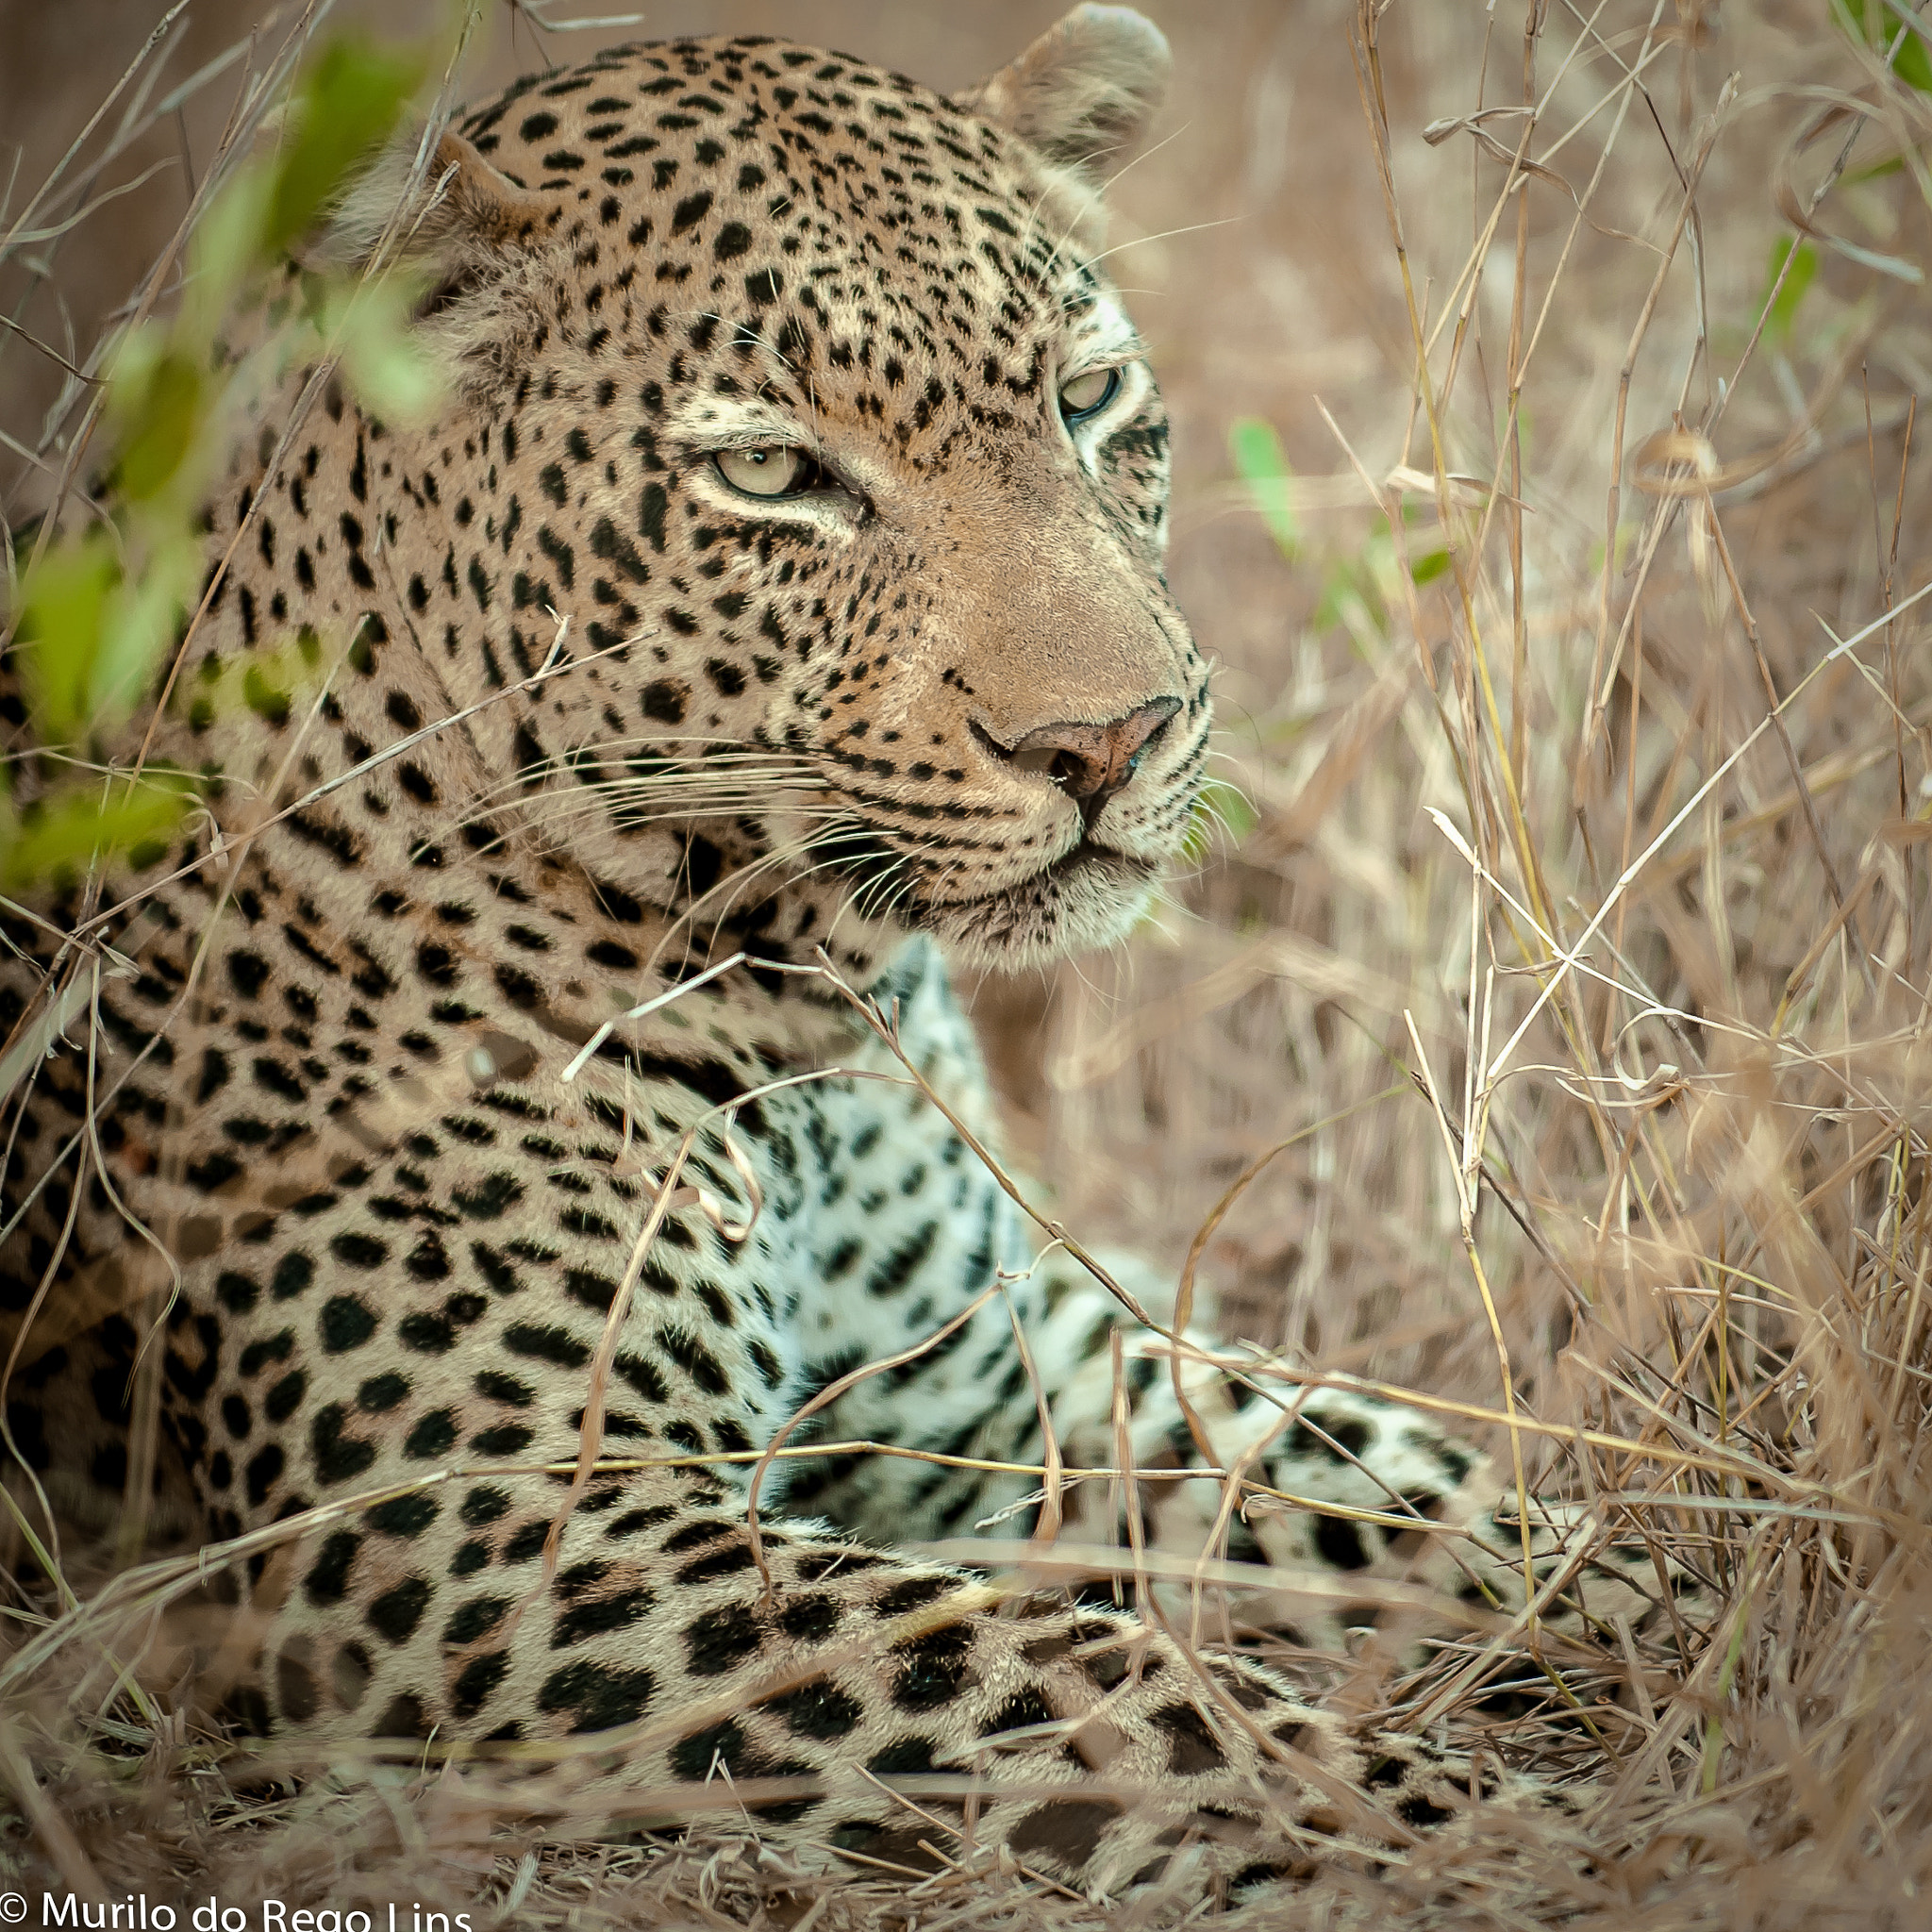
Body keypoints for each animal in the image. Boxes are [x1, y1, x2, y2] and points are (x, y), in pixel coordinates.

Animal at [0, 6, 1696, 1904]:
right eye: (767, 473)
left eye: (1084, 398)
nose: (1106, 742)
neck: (799, 994)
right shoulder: (502, 1534)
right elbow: (1090, 1682)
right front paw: (1459, 1827)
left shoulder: (1007, 1376)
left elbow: (1371, 1468)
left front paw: (1699, 1609)